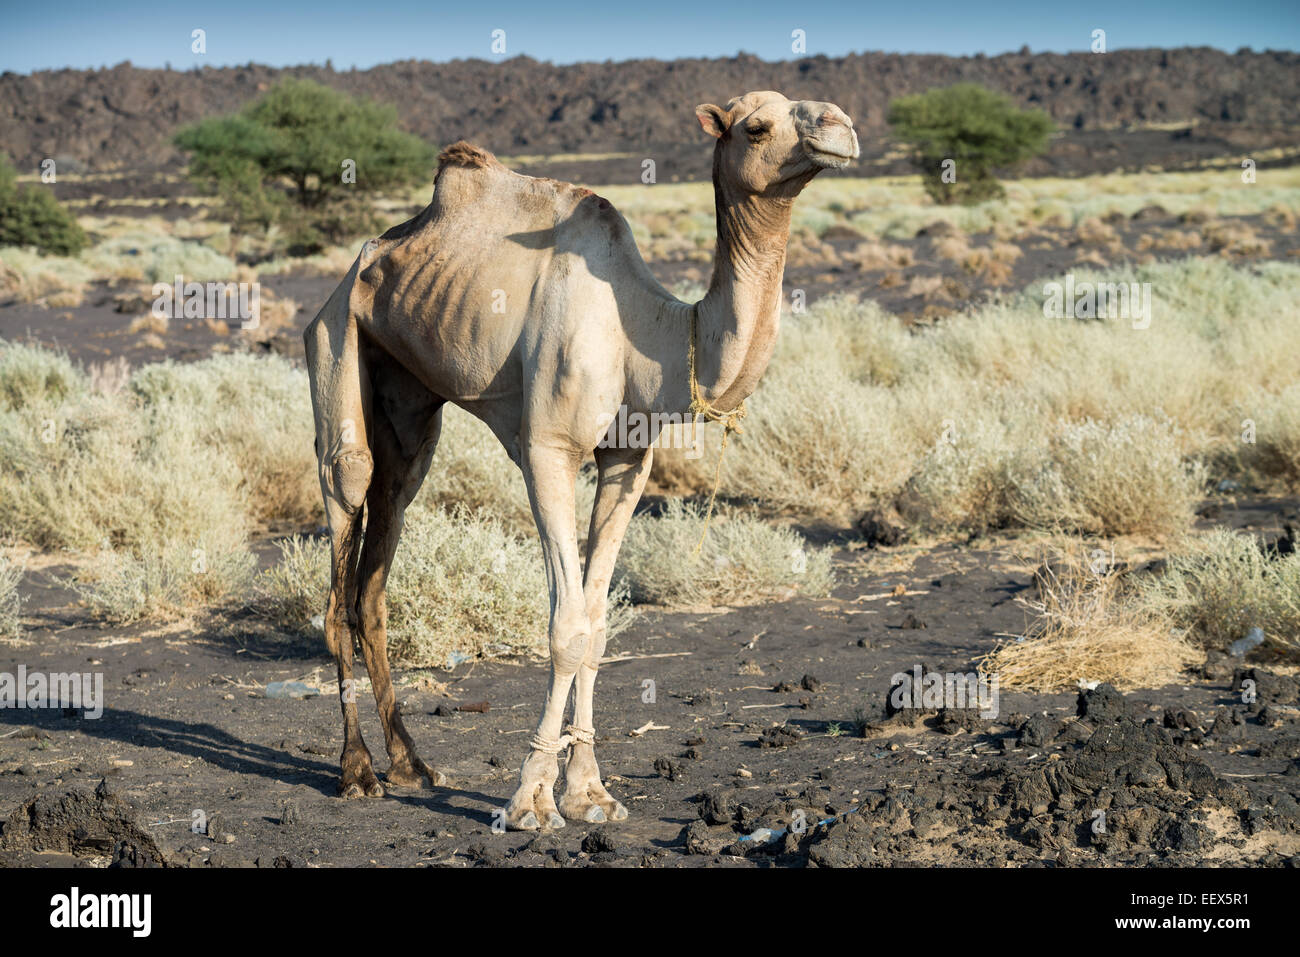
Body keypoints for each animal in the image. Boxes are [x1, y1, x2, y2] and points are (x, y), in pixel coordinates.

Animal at [303, 91, 859, 830]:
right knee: (345, 527)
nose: (840, 126)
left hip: (409, 402)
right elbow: (565, 625)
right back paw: (357, 771)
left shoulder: (628, 459)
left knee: (379, 557)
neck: (646, 334)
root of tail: (352, 271)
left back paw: (412, 764)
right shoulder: (549, 449)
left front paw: (591, 792)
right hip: (335, 345)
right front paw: (531, 799)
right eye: (757, 126)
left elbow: (596, 626)